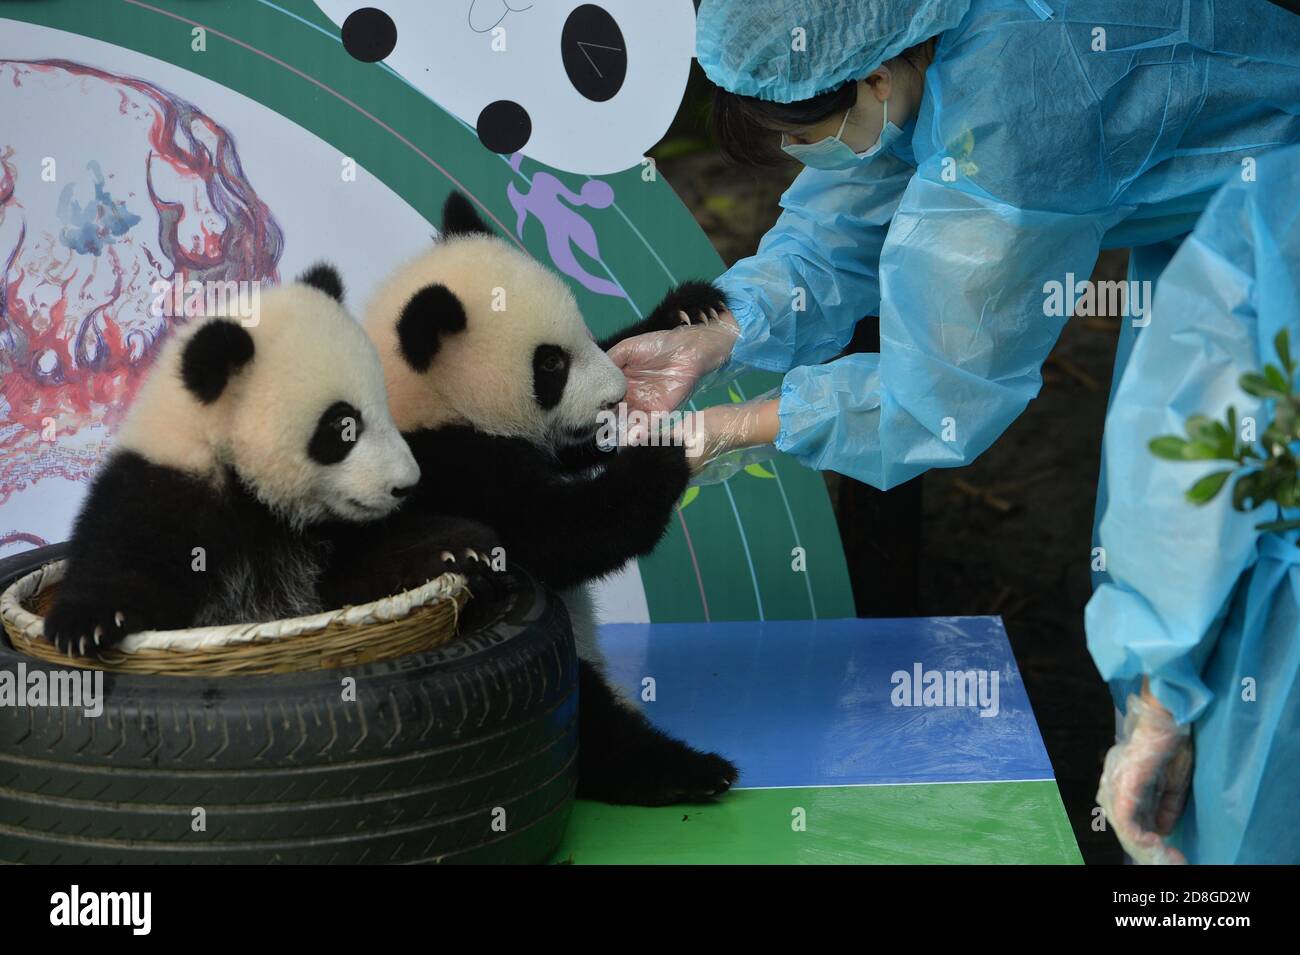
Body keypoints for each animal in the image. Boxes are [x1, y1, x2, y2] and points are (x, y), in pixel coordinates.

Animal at [44, 265, 503, 658]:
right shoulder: (162, 494)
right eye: (343, 426)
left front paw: (462, 546)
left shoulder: (328, 538)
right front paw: (88, 624)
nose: (406, 484)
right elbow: (120, 556)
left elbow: (365, 566)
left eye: (386, 406)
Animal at [363, 192, 739, 806]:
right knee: (584, 716)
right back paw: (684, 771)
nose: (616, 397)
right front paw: (659, 454)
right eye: (550, 365)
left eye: (581, 334)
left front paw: (684, 313)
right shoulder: (446, 469)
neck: (424, 399)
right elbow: (559, 536)